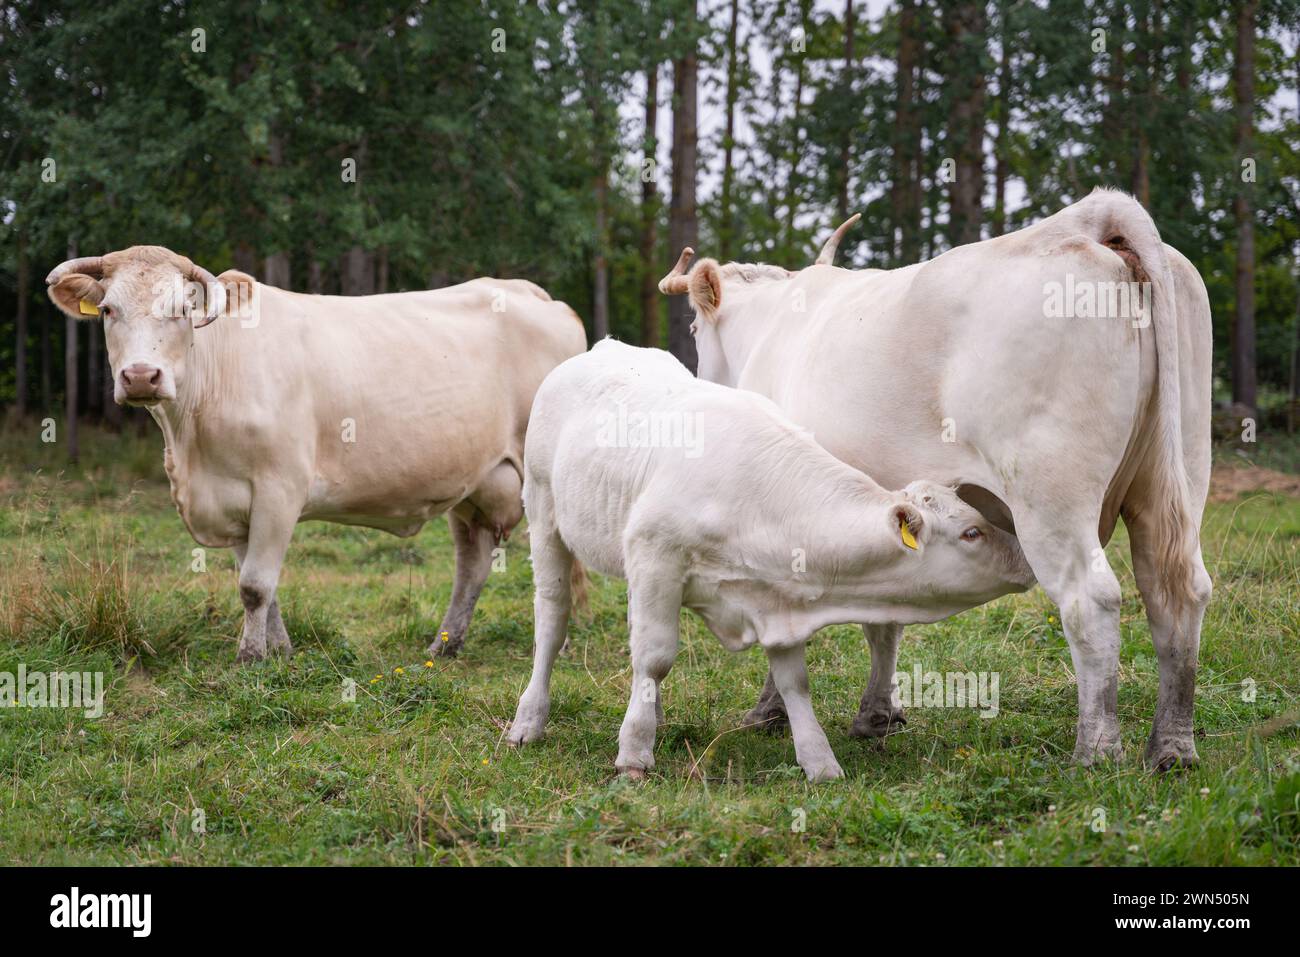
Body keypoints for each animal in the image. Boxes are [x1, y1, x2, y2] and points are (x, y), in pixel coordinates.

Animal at [46, 246, 586, 663]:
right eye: (109, 310)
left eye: (182, 309)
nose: (140, 376)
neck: (192, 442)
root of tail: (535, 293)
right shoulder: (235, 502)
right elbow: (260, 585)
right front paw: (280, 651)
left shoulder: (279, 488)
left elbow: (255, 585)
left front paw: (249, 657)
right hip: (475, 482)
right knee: (471, 565)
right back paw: (445, 645)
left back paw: (555, 647)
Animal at [505, 340, 1033, 781]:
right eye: (972, 532)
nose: (1027, 561)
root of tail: (602, 348)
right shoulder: (658, 555)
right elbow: (655, 658)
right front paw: (634, 753)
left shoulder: (775, 591)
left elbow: (793, 681)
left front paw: (819, 762)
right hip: (545, 516)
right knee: (552, 621)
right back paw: (529, 720)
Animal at [658, 188, 1213, 770]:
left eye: (693, 329)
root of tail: (1087, 220)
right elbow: (884, 619)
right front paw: (877, 714)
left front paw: (770, 711)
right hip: (1173, 476)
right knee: (1177, 590)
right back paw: (1172, 747)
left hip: (1051, 496)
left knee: (1093, 598)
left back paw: (1096, 751)